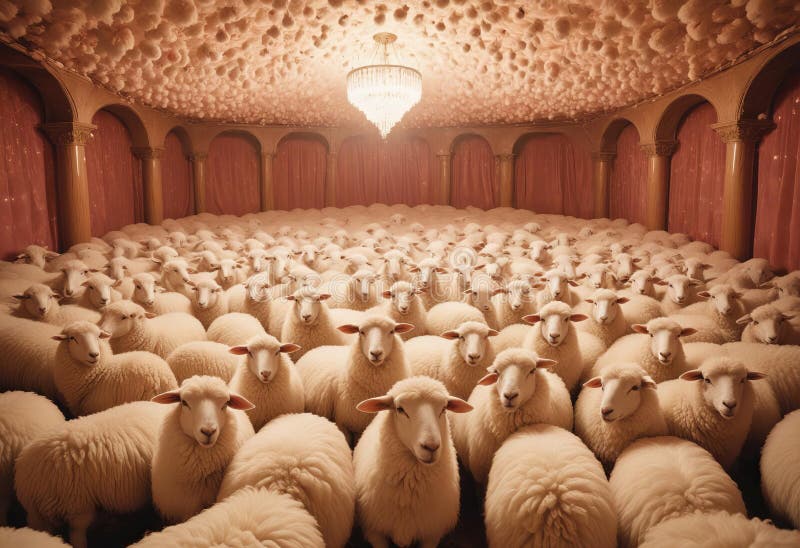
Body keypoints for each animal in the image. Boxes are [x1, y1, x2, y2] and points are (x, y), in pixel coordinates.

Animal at [353, 376, 472, 548]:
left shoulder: (431, 534)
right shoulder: (375, 531)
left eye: (444, 408)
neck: (410, 485)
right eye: (400, 409)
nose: (431, 446)